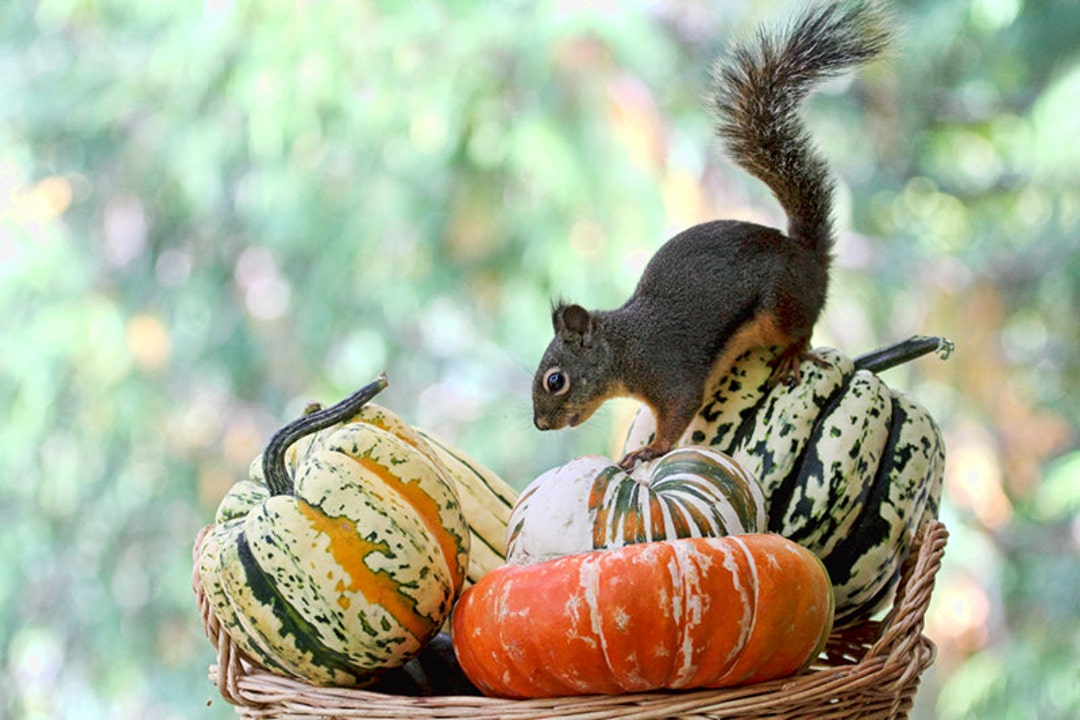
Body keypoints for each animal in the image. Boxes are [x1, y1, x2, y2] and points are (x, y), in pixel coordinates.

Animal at [531, 1, 893, 468]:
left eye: (555, 380)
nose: (540, 424)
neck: (626, 348)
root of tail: (806, 255)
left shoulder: (670, 374)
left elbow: (680, 411)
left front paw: (651, 450)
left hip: (781, 305)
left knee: (804, 329)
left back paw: (793, 353)